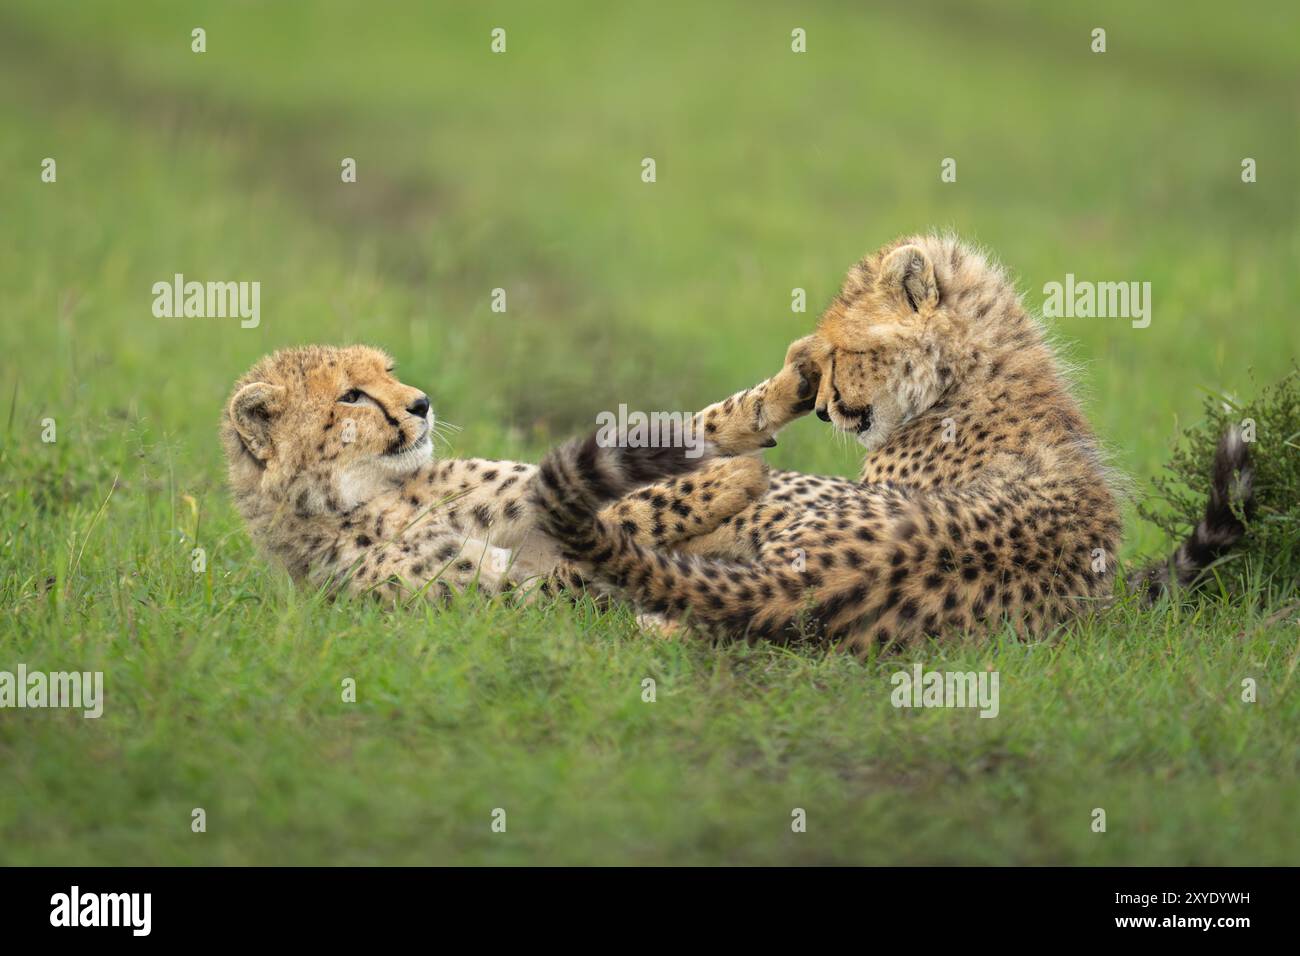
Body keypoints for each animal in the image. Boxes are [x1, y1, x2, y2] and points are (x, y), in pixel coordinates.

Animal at [220, 344, 770, 607]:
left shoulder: (529, 493)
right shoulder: (507, 601)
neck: (371, 496)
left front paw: (751, 419)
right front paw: (728, 481)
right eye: (351, 396)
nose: (422, 403)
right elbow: (606, 528)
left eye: (389, 372)